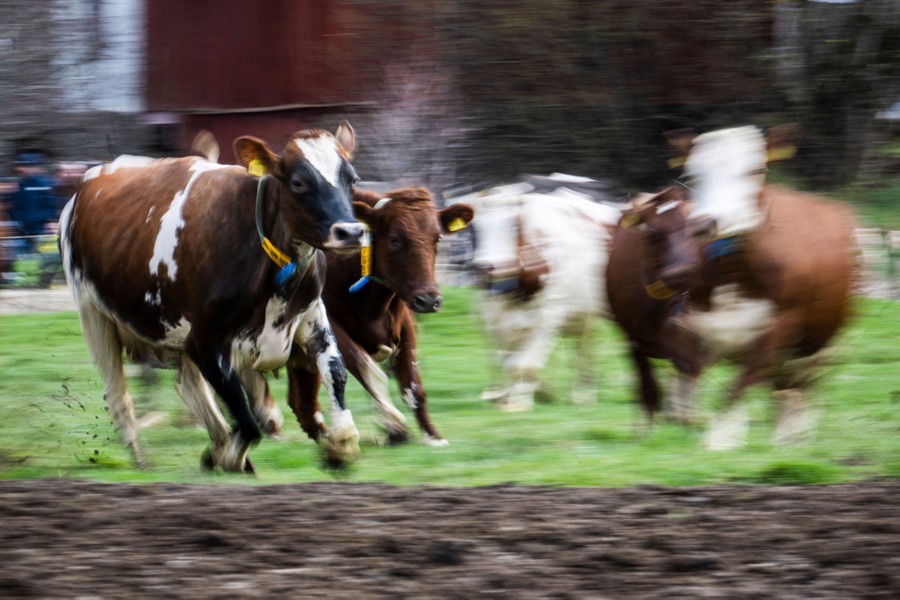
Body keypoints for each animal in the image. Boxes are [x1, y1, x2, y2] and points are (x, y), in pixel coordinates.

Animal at [59, 122, 367, 472]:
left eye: (352, 179)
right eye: (299, 182)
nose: (350, 232)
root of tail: (90, 179)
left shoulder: (310, 314)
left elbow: (335, 369)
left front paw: (341, 443)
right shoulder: (206, 343)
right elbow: (245, 419)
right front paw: (229, 456)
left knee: (189, 386)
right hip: (94, 315)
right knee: (118, 394)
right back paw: (143, 460)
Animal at [286, 187, 475, 447]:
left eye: (437, 238)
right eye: (394, 238)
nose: (429, 299)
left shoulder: (404, 323)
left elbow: (413, 385)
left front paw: (432, 436)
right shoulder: (328, 325)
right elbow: (368, 369)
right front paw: (395, 425)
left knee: (302, 403)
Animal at [465, 175, 622, 412]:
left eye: (514, 224)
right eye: (474, 228)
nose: (484, 267)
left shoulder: (549, 316)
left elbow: (523, 363)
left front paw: (519, 402)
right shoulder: (491, 316)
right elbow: (504, 360)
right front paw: (508, 395)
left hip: (589, 314)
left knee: (585, 349)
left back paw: (582, 394)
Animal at [610, 125, 859, 449]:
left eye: (756, 170)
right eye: (691, 175)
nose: (706, 224)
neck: (734, 276)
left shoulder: (783, 325)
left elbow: (740, 384)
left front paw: (722, 437)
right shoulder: (676, 328)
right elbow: (674, 375)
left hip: (821, 338)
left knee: (798, 386)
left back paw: (791, 436)